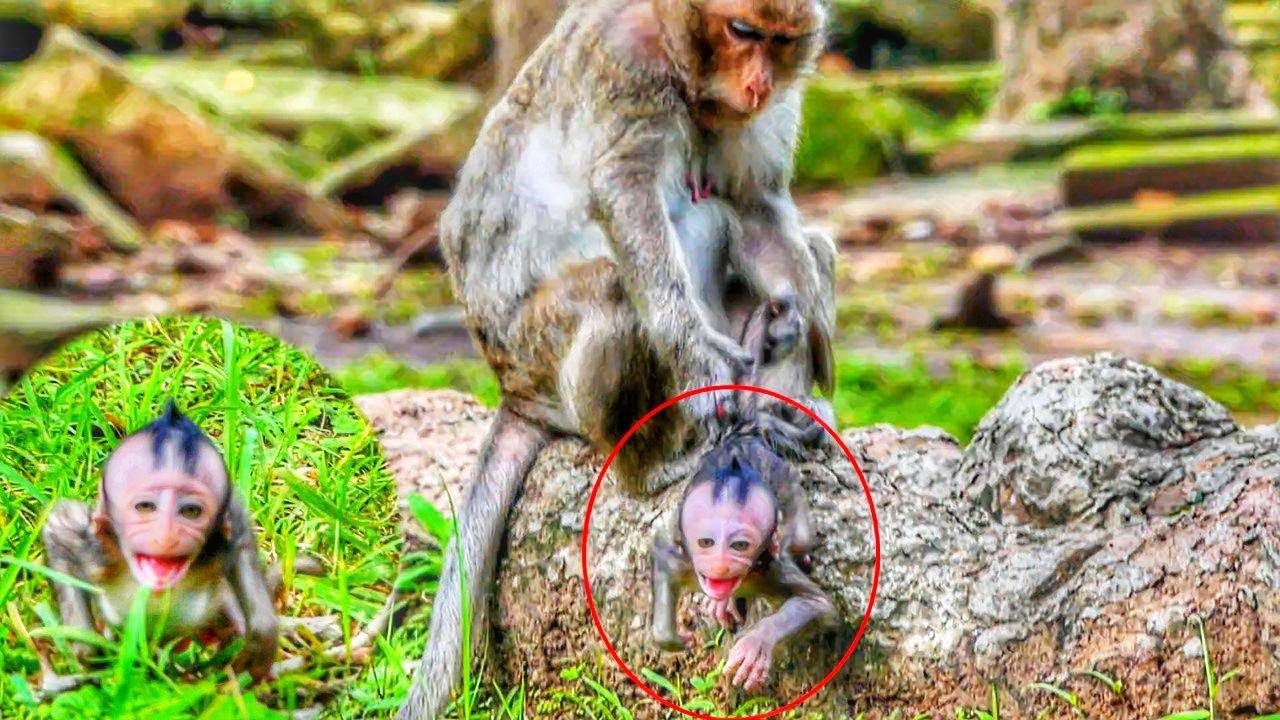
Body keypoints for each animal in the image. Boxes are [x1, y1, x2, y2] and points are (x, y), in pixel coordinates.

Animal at [40, 402, 278, 682]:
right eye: (145, 507)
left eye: (191, 511)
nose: (166, 535)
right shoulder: (100, 553)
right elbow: (60, 526)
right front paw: (88, 647)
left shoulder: (218, 547)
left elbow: (240, 536)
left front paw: (260, 636)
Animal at [400, 1, 831, 717]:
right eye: (742, 31)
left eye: (780, 41)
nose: (759, 83)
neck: (689, 71)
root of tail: (512, 387)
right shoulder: (630, 63)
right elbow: (624, 189)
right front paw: (698, 354)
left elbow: (753, 201)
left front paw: (796, 328)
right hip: (541, 358)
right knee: (611, 286)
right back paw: (645, 467)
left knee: (794, 239)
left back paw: (776, 416)